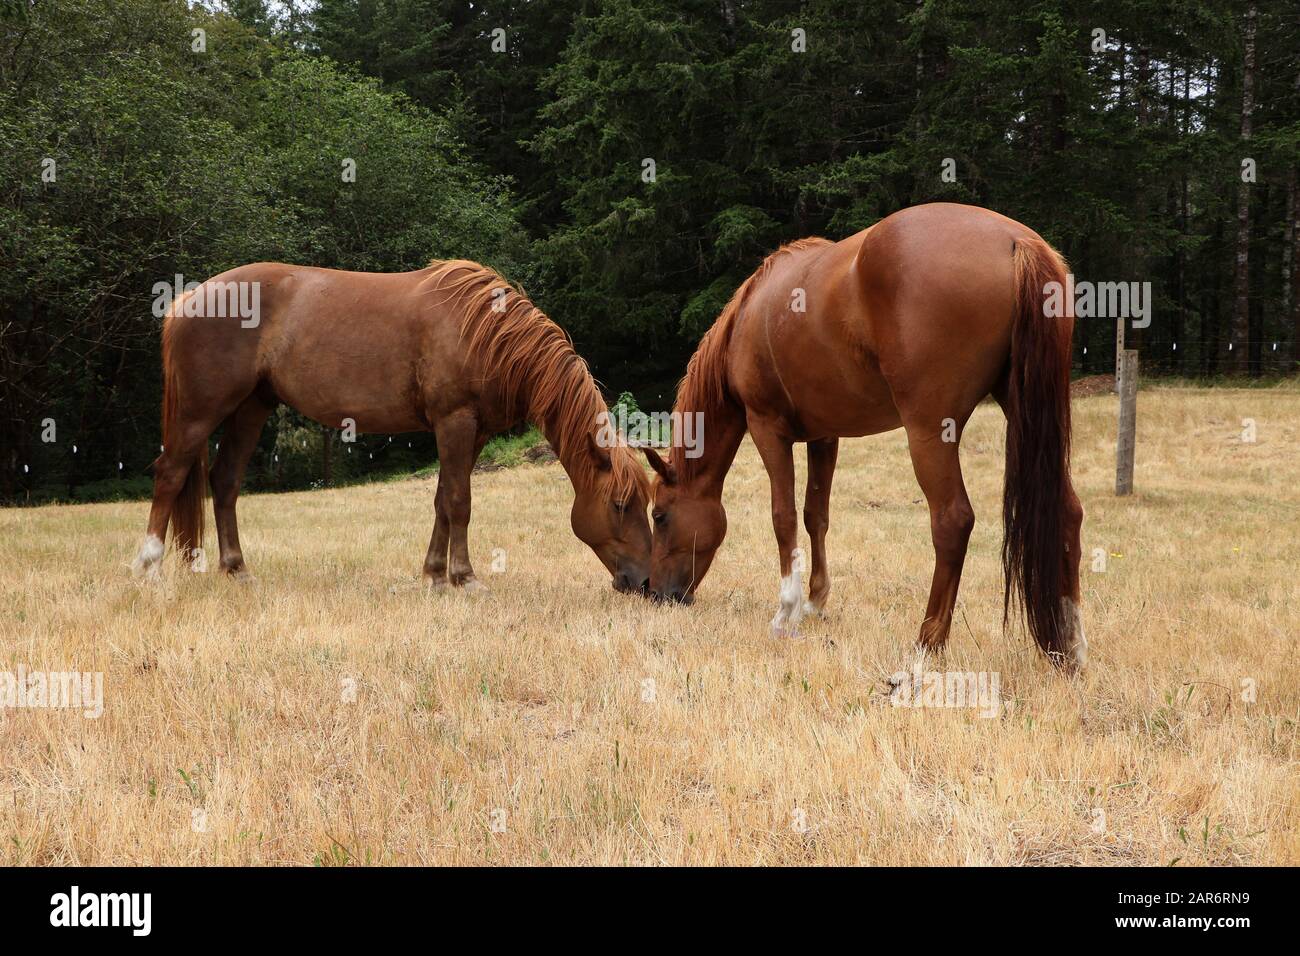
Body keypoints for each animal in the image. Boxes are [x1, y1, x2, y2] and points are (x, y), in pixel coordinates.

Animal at [131, 259, 652, 594]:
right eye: (620, 504)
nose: (647, 583)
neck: (486, 332)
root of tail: (188, 298)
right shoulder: (455, 421)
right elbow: (460, 501)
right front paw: (465, 577)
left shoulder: (473, 431)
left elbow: (443, 500)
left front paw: (435, 575)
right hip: (201, 411)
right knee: (170, 475)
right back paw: (149, 570)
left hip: (251, 408)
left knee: (224, 482)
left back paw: (236, 570)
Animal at [639, 203, 1086, 669]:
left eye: (660, 515)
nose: (655, 593)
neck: (751, 315)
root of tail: (1017, 241)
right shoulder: (823, 436)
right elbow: (815, 514)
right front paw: (815, 602)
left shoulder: (767, 428)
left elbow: (783, 517)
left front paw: (786, 612)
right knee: (1068, 512)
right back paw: (1071, 646)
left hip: (930, 433)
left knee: (953, 521)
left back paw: (927, 642)